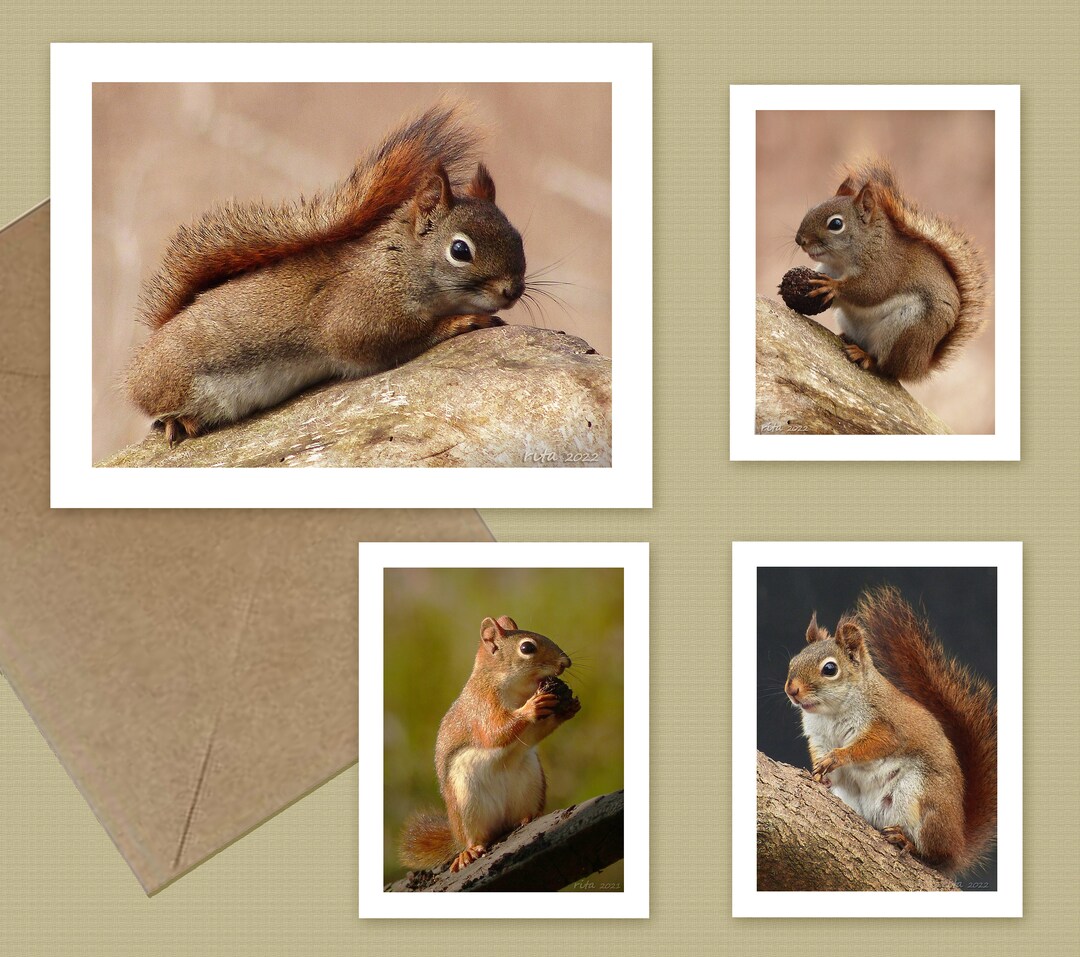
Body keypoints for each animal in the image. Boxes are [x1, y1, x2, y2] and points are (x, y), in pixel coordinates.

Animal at [124, 101, 527, 445]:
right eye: (460, 250)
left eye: (518, 236)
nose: (513, 291)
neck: (400, 266)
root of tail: (145, 356)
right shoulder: (359, 314)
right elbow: (384, 340)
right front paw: (463, 321)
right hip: (173, 381)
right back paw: (178, 421)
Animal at [399, 615, 580, 874]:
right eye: (527, 648)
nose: (566, 662)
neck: (514, 688)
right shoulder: (482, 706)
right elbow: (494, 733)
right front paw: (531, 708)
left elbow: (532, 734)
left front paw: (567, 708)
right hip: (465, 805)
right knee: (476, 838)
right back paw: (468, 852)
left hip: (532, 783)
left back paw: (529, 817)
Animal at [784, 586, 996, 875]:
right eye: (793, 661)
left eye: (830, 669)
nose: (791, 690)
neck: (830, 713)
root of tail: (958, 844)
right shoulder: (818, 737)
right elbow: (821, 756)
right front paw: (819, 774)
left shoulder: (886, 726)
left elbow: (871, 746)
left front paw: (838, 757)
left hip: (921, 798)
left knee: (934, 854)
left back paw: (907, 842)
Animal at [794, 158, 988, 381]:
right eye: (813, 209)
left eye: (836, 224)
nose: (800, 240)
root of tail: (919, 366)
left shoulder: (886, 267)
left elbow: (871, 290)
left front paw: (833, 286)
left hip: (907, 330)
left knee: (886, 368)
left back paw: (865, 357)